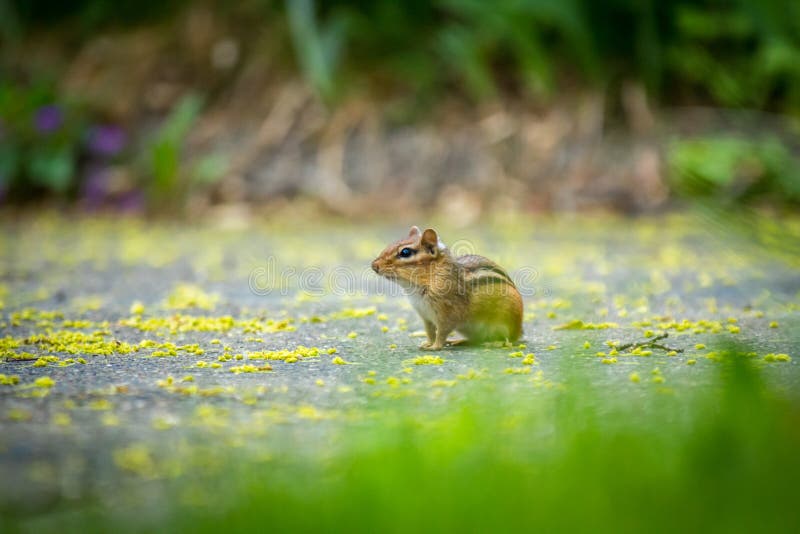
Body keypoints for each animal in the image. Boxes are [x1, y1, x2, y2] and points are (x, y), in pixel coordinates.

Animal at [371, 226, 523, 350]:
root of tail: (519, 328)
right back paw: (458, 341)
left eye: (405, 252)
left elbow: (441, 332)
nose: (374, 265)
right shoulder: (425, 316)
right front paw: (427, 344)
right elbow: (430, 332)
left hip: (503, 323)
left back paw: (495, 343)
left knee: (509, 339)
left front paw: (435, 347)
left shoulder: (447, 314)